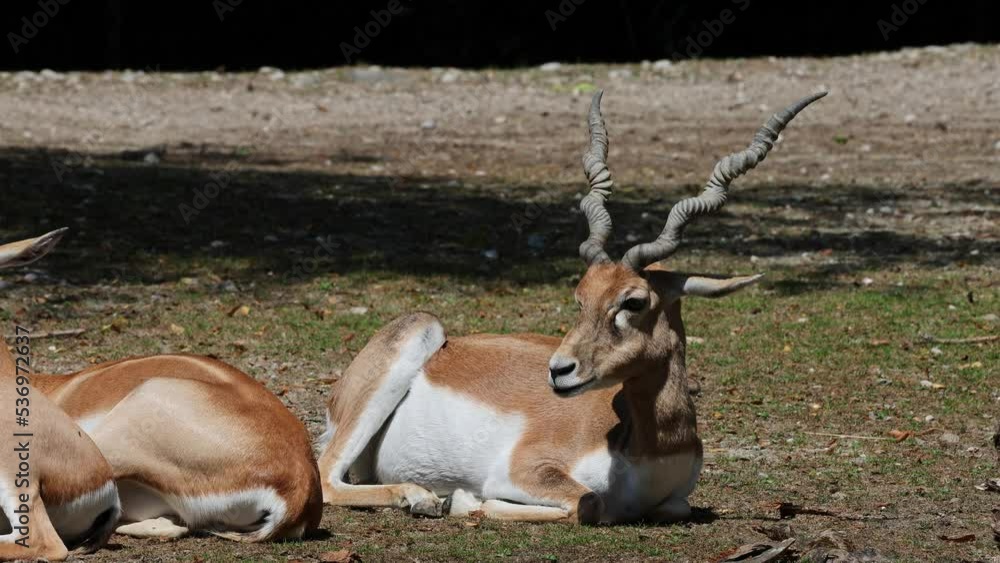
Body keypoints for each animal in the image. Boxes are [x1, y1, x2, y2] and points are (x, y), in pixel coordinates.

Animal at [318, 90, 826, 523]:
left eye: (633, 301)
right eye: (580, 297)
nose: (559, 370)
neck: (647, 450)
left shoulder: (676, 502)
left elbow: (663, 507)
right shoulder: (522, 470)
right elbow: (586, 503)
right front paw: (467, 500)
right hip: (417, 338)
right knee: (326, 477)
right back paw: (420, 497)